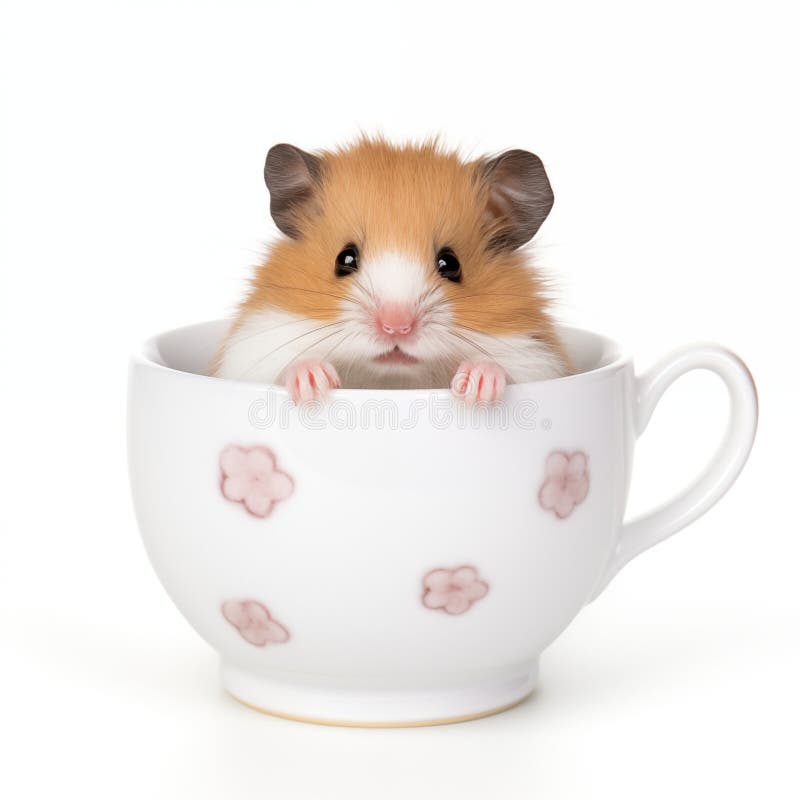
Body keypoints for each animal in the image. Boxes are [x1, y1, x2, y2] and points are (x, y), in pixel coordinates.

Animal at [212, 137, 570, 402]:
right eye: (344, 259)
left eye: (451, 264)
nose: (396, 328)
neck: (391, 378)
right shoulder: (252, 352)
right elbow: (284, 366)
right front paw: (314, 382)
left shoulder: (536, 358)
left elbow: (507, 371)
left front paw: (477, 385)